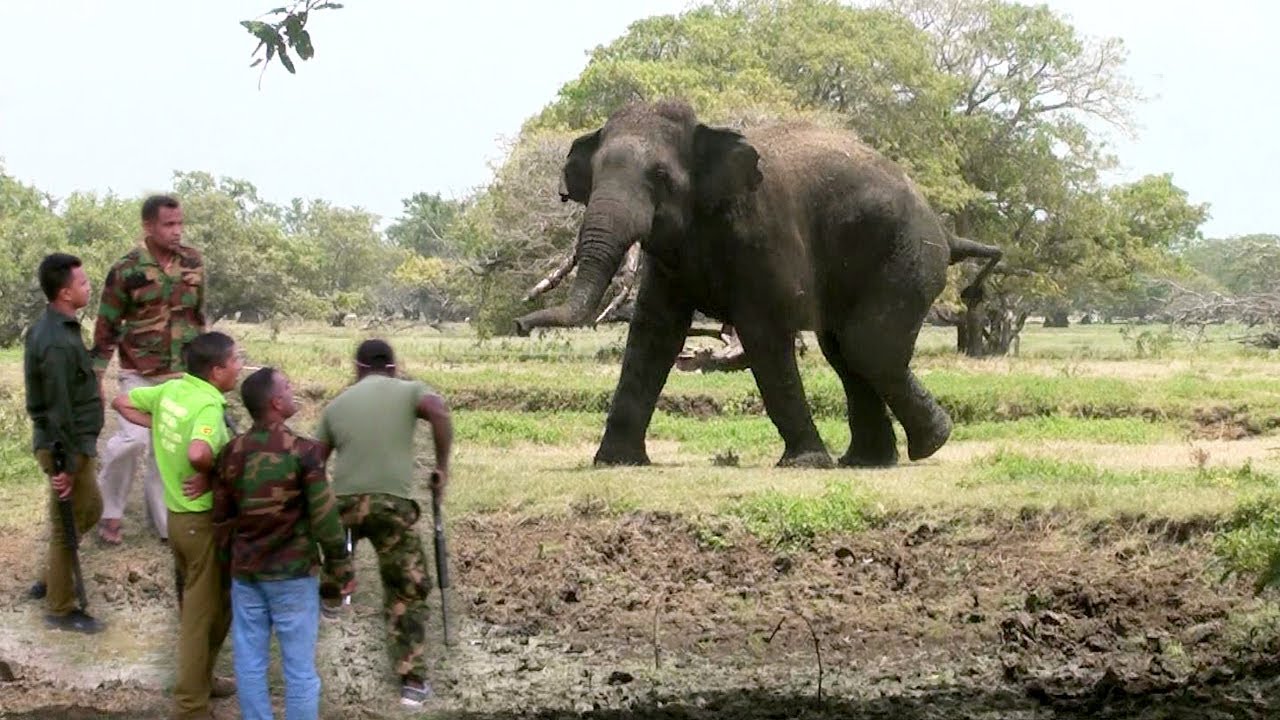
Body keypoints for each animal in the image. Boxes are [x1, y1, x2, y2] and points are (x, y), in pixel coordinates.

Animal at [513, 101, 1001, 468]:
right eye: (593, 177)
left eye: (662, 178)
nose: (519, 324)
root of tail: (947, 233)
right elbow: (653, 336)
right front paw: (615, 462)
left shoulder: (763, 235)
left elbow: (763, 333)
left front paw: (805, 464)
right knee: (846, 351)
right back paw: (871, 461)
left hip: (908, 255)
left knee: (866, 346)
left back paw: (928, 445)